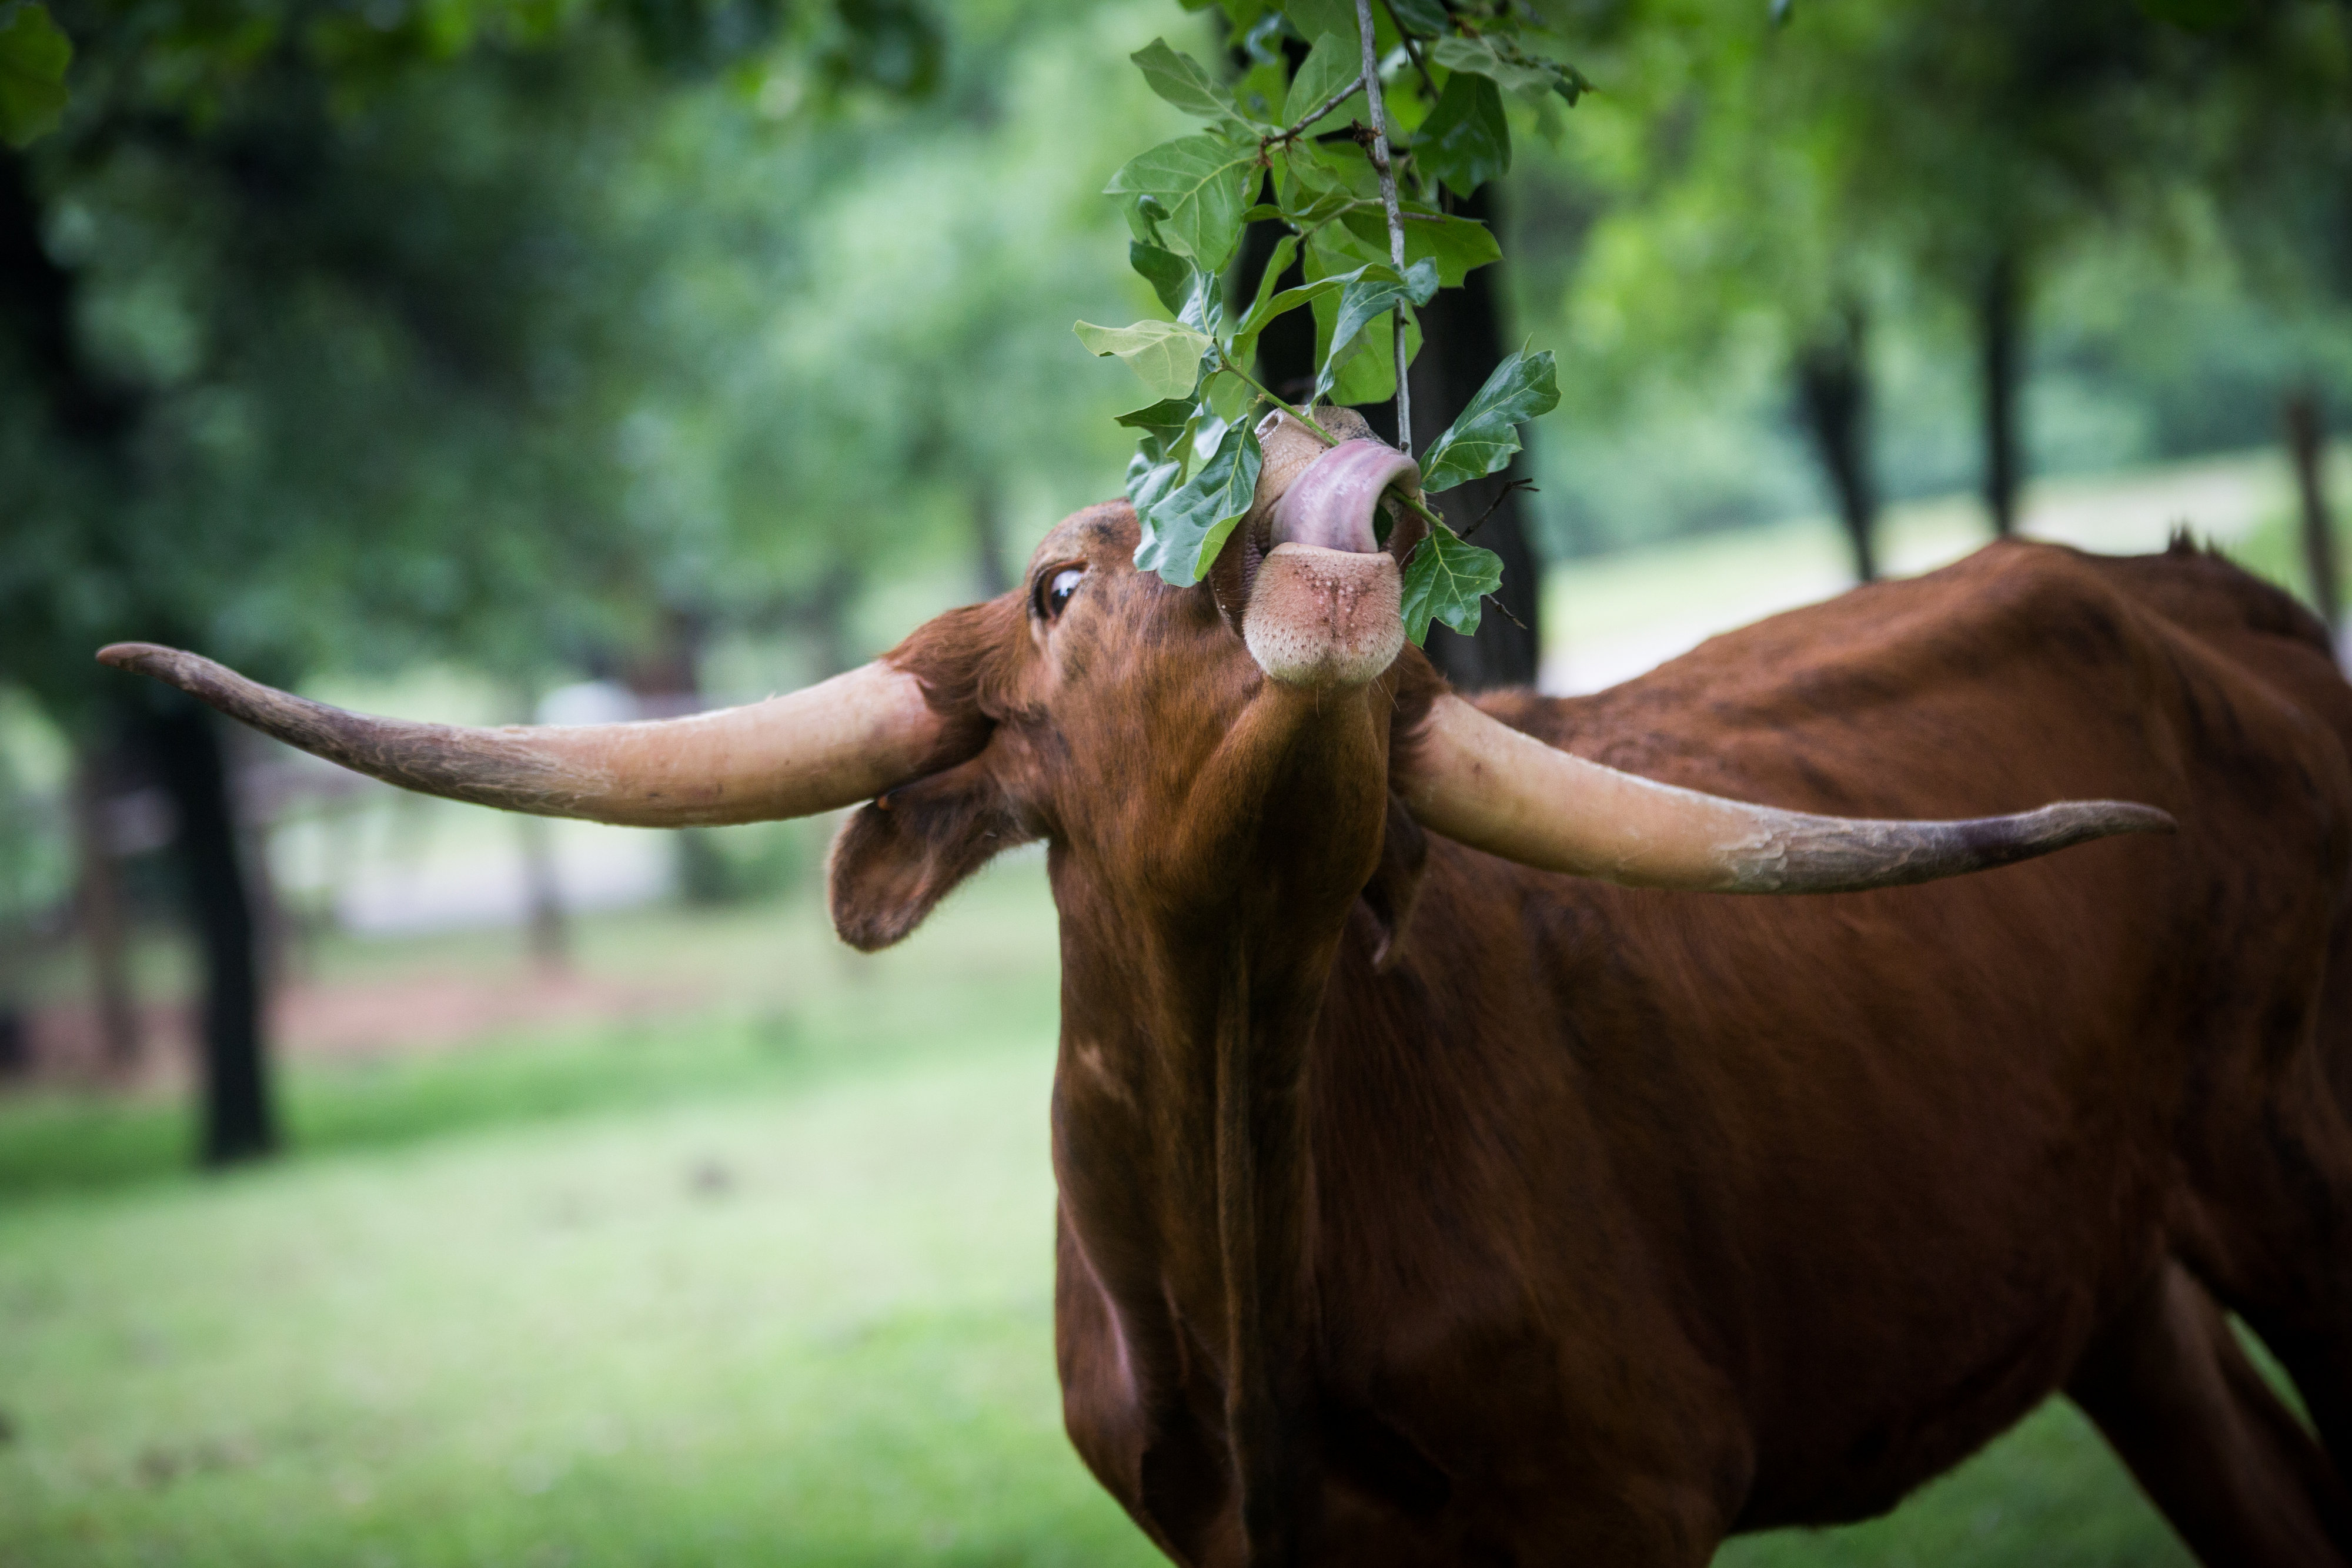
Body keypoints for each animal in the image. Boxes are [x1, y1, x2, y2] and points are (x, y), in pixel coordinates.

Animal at [101, 410, 2352, 1567]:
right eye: (1056, 585)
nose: (1326, 447)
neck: (1257, 1264)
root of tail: (2203, 585)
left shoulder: (1627, 1502)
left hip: (2300, 1186)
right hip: (2118, 1290)